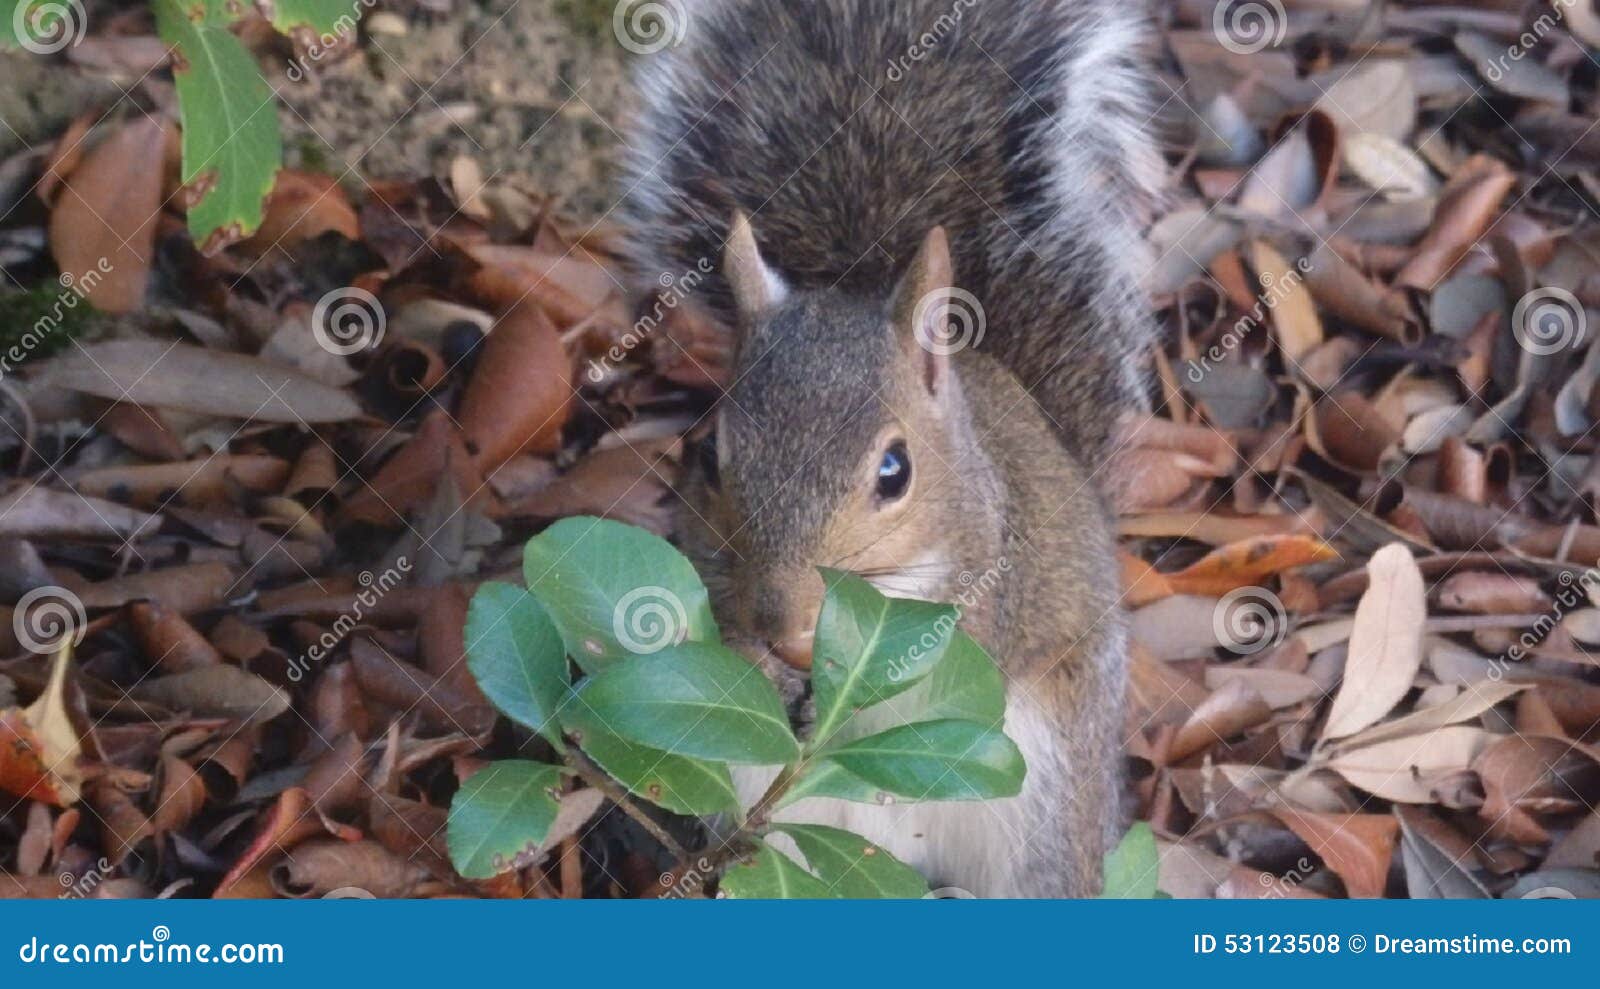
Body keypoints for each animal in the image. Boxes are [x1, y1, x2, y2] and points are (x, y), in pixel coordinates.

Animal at [617, 0, 1161, 897]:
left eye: (894, 471)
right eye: (710, 456)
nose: (787, 624)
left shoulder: (995, 577)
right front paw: (770, 664)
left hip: (1047, 796)